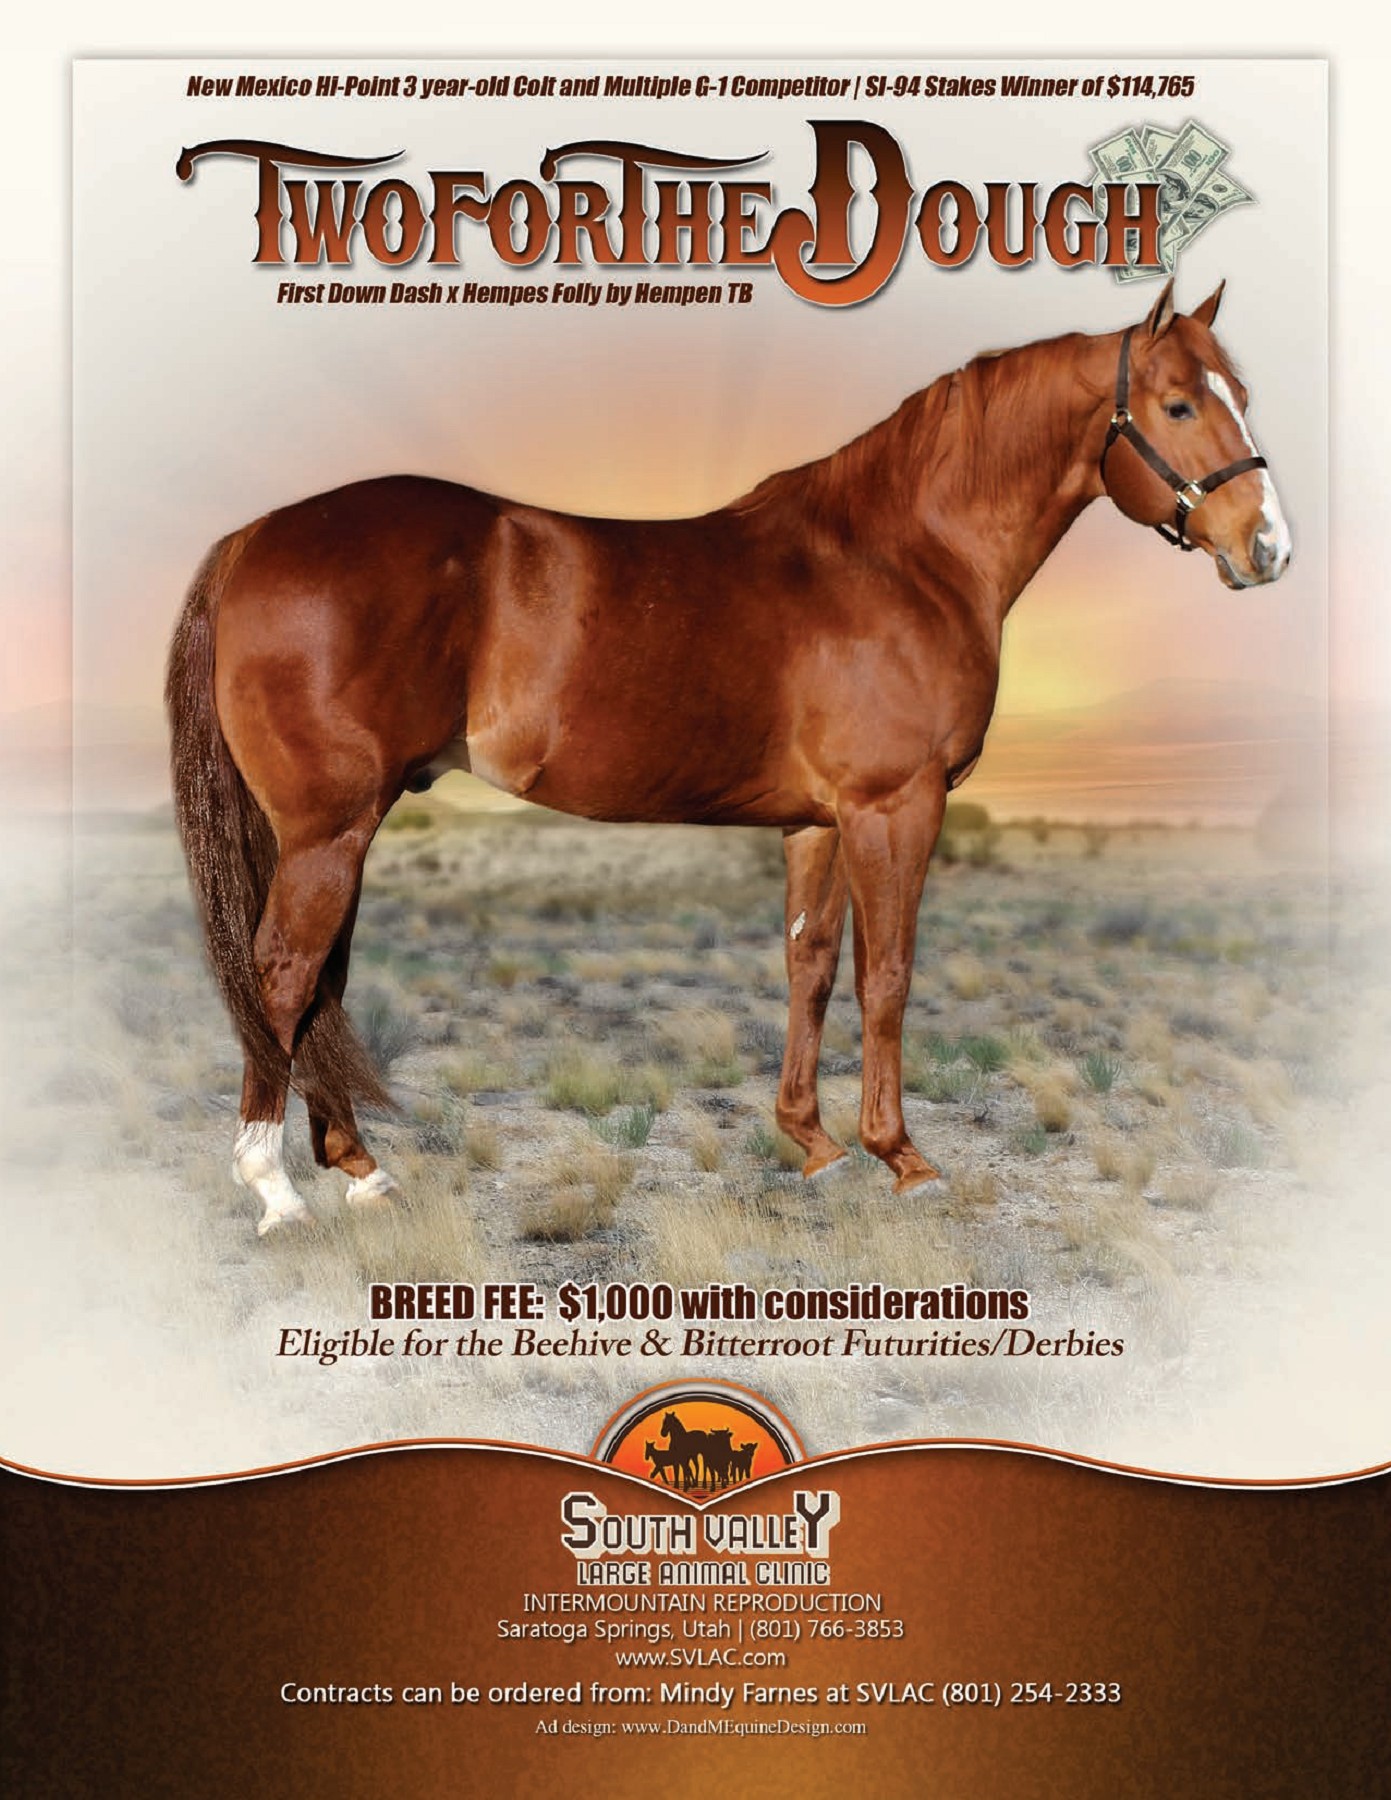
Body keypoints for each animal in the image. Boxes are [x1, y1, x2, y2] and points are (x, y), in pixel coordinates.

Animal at [166, 278, 1290, 1236]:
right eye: (1178, 405)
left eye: (1239, 394)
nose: (1267, 548)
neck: (901, 556)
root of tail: (250, 539)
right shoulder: (895, 807)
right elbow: (888, 975)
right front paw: (905, 1161)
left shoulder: (817, 822)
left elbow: (811, 967)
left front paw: (816, 1147)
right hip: (329, 828)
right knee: (282, 976)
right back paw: (275, 1190)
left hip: (343, 827)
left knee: (320, 985)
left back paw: (362, 1171)